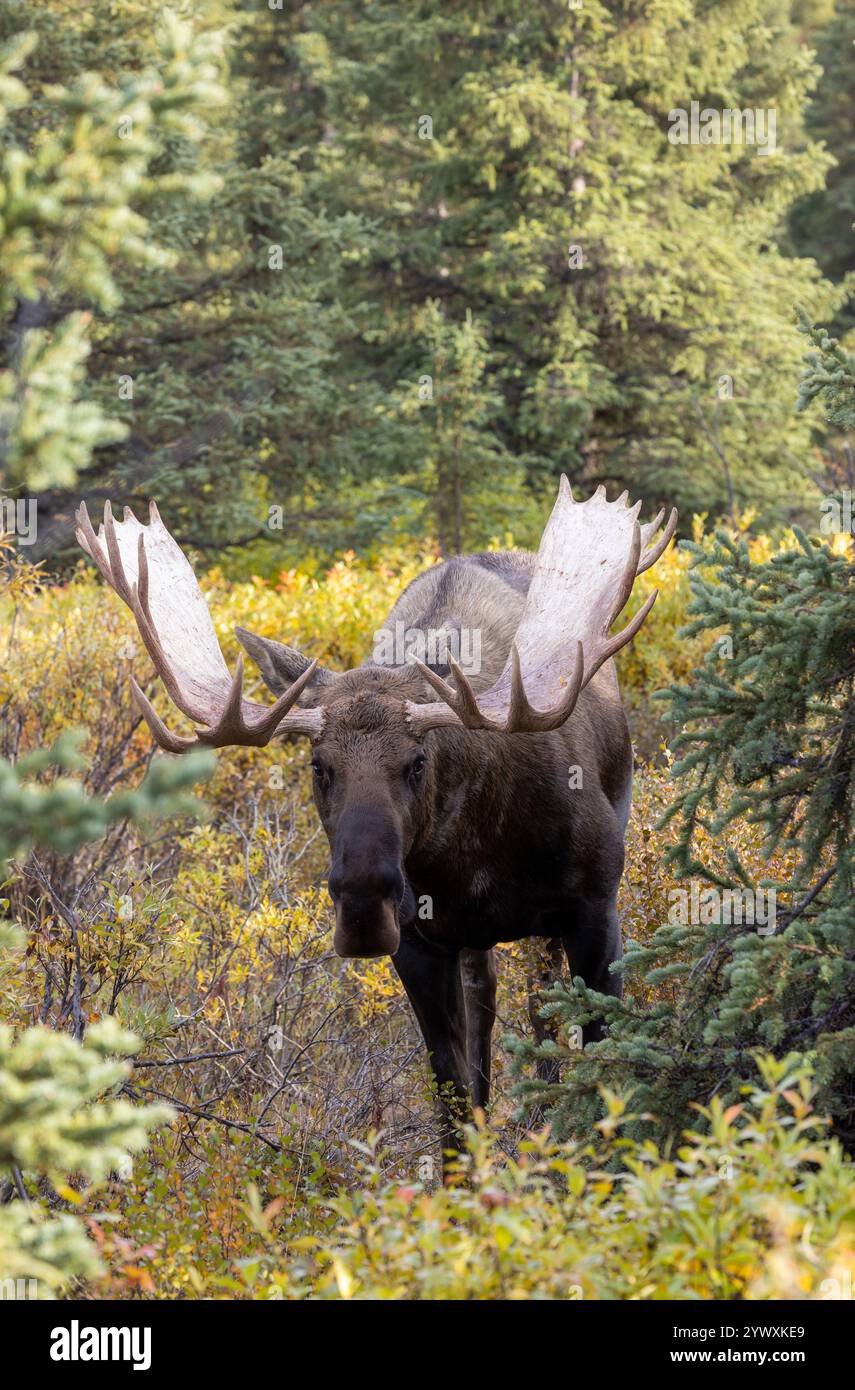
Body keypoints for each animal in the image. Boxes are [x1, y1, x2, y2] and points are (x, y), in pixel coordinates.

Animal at [75, 481, 676, 1167]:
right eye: (318, 765)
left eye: (418, 760)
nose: (363, 904)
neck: (476, 856)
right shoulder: (418, 944)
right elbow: (452, 1097)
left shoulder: (597, 909)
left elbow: (606, 1065)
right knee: (494, 1007)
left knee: (541, 1002)